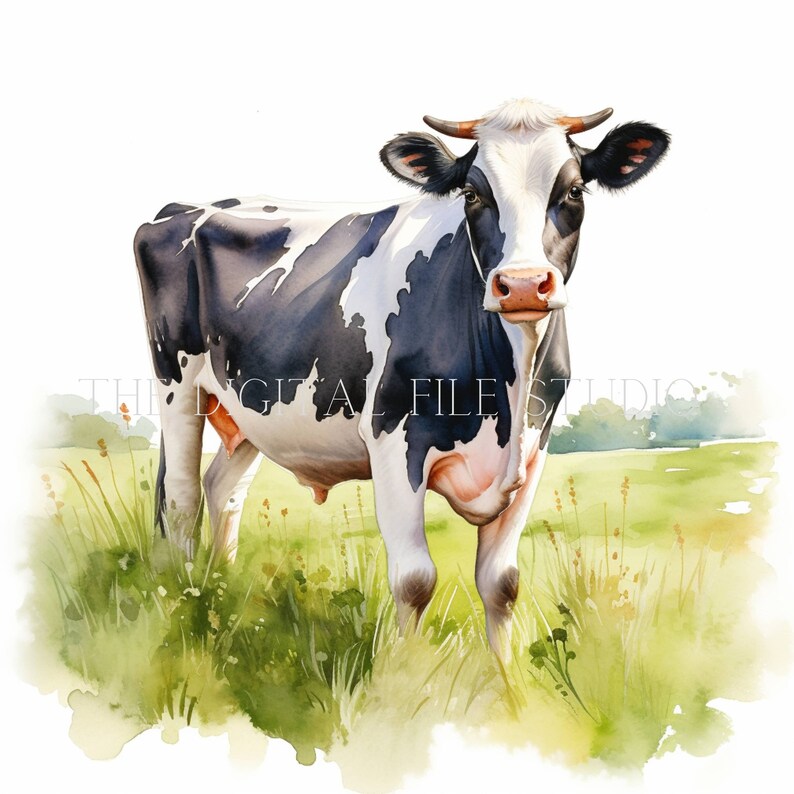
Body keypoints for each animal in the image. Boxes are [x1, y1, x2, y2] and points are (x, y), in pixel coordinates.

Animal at [134, 98, 669, 659]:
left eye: (573, 190)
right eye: (472, 193)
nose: (523, 285)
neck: (506, 391)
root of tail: (187, 208)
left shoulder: (533, 448)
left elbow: (502, 583)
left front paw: (505, 677)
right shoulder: (394, 440)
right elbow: (414, 580)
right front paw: (407, 673)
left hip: (251, 409)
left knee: (223, 490)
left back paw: (224, 592)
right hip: (177, 386)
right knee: (181, 498)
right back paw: (186, 608)